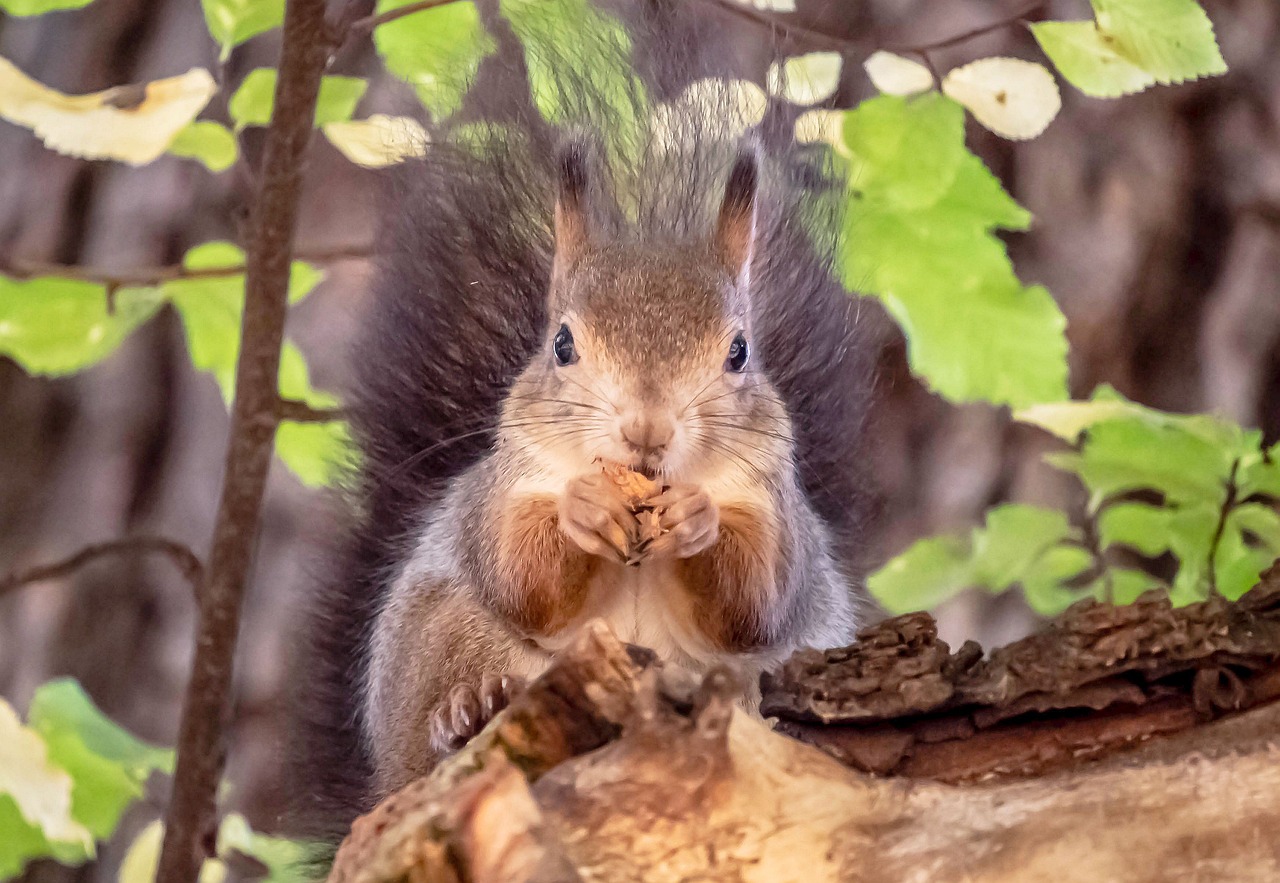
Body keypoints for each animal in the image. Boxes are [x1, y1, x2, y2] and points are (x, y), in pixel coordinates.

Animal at [288, 2, 876, 847]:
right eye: (562, 343)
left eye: (739, 351)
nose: (647, 430)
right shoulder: (501, 489)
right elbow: (522, 572)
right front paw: (584, 508)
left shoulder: (778, 509)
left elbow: (756, 597)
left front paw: (696, 515)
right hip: (438, 635)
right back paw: (469, 711)